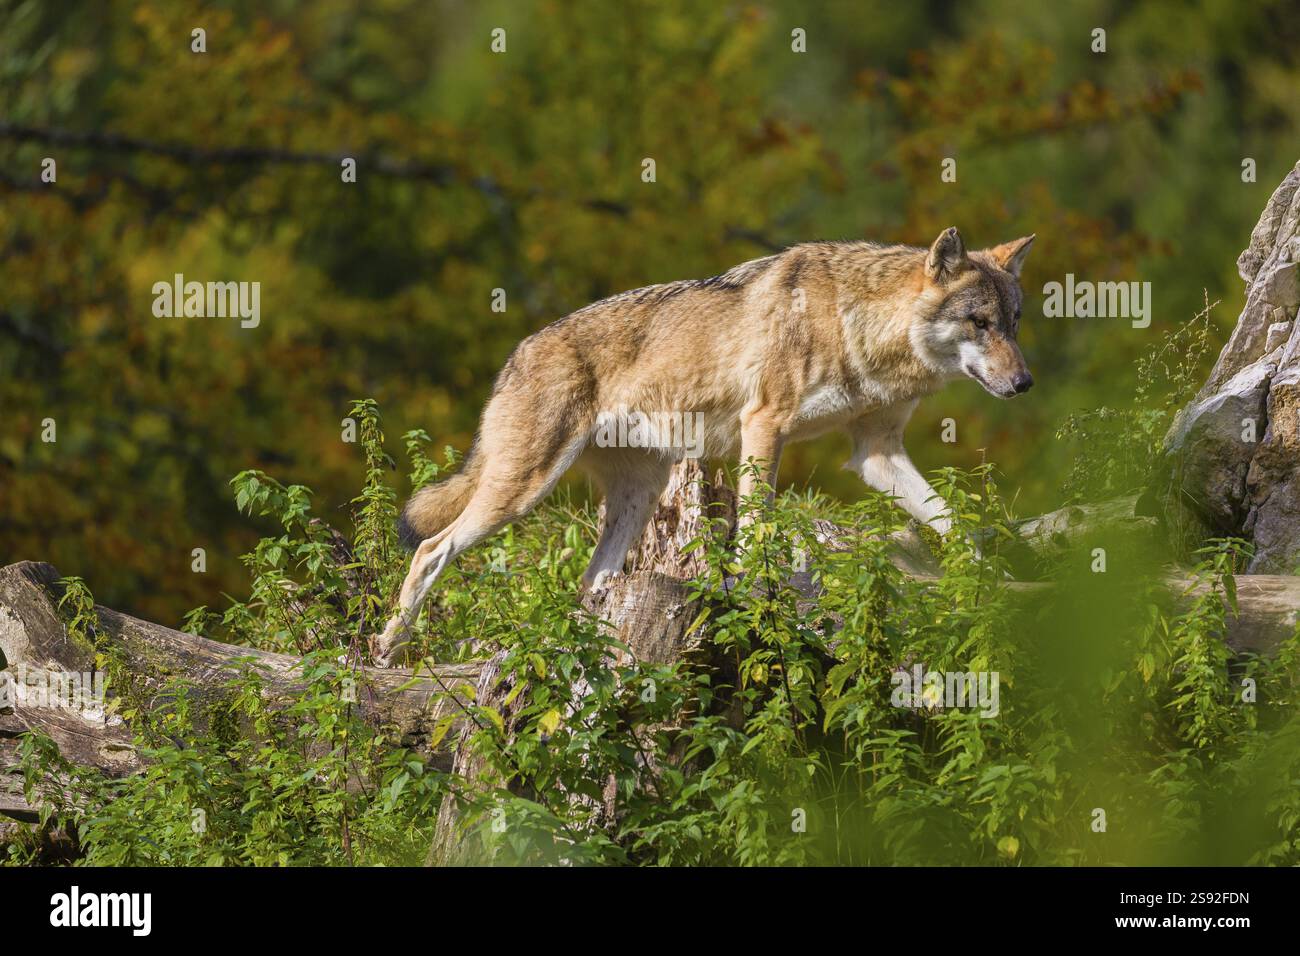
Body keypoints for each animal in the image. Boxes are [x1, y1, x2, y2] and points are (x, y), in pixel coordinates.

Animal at [373, 227, 1035, 664]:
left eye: (1014, 323)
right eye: (979, 323)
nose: (1025, 383)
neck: (861, 328)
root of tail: (517, 353)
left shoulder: (876, 453)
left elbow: (954, 523)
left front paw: (994, 582)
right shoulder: (765, 425)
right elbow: (759, 528)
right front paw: (756, 597)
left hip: (639, 497)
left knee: (589, 586)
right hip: (523, 491)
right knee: (429, 549)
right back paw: (387, 649)